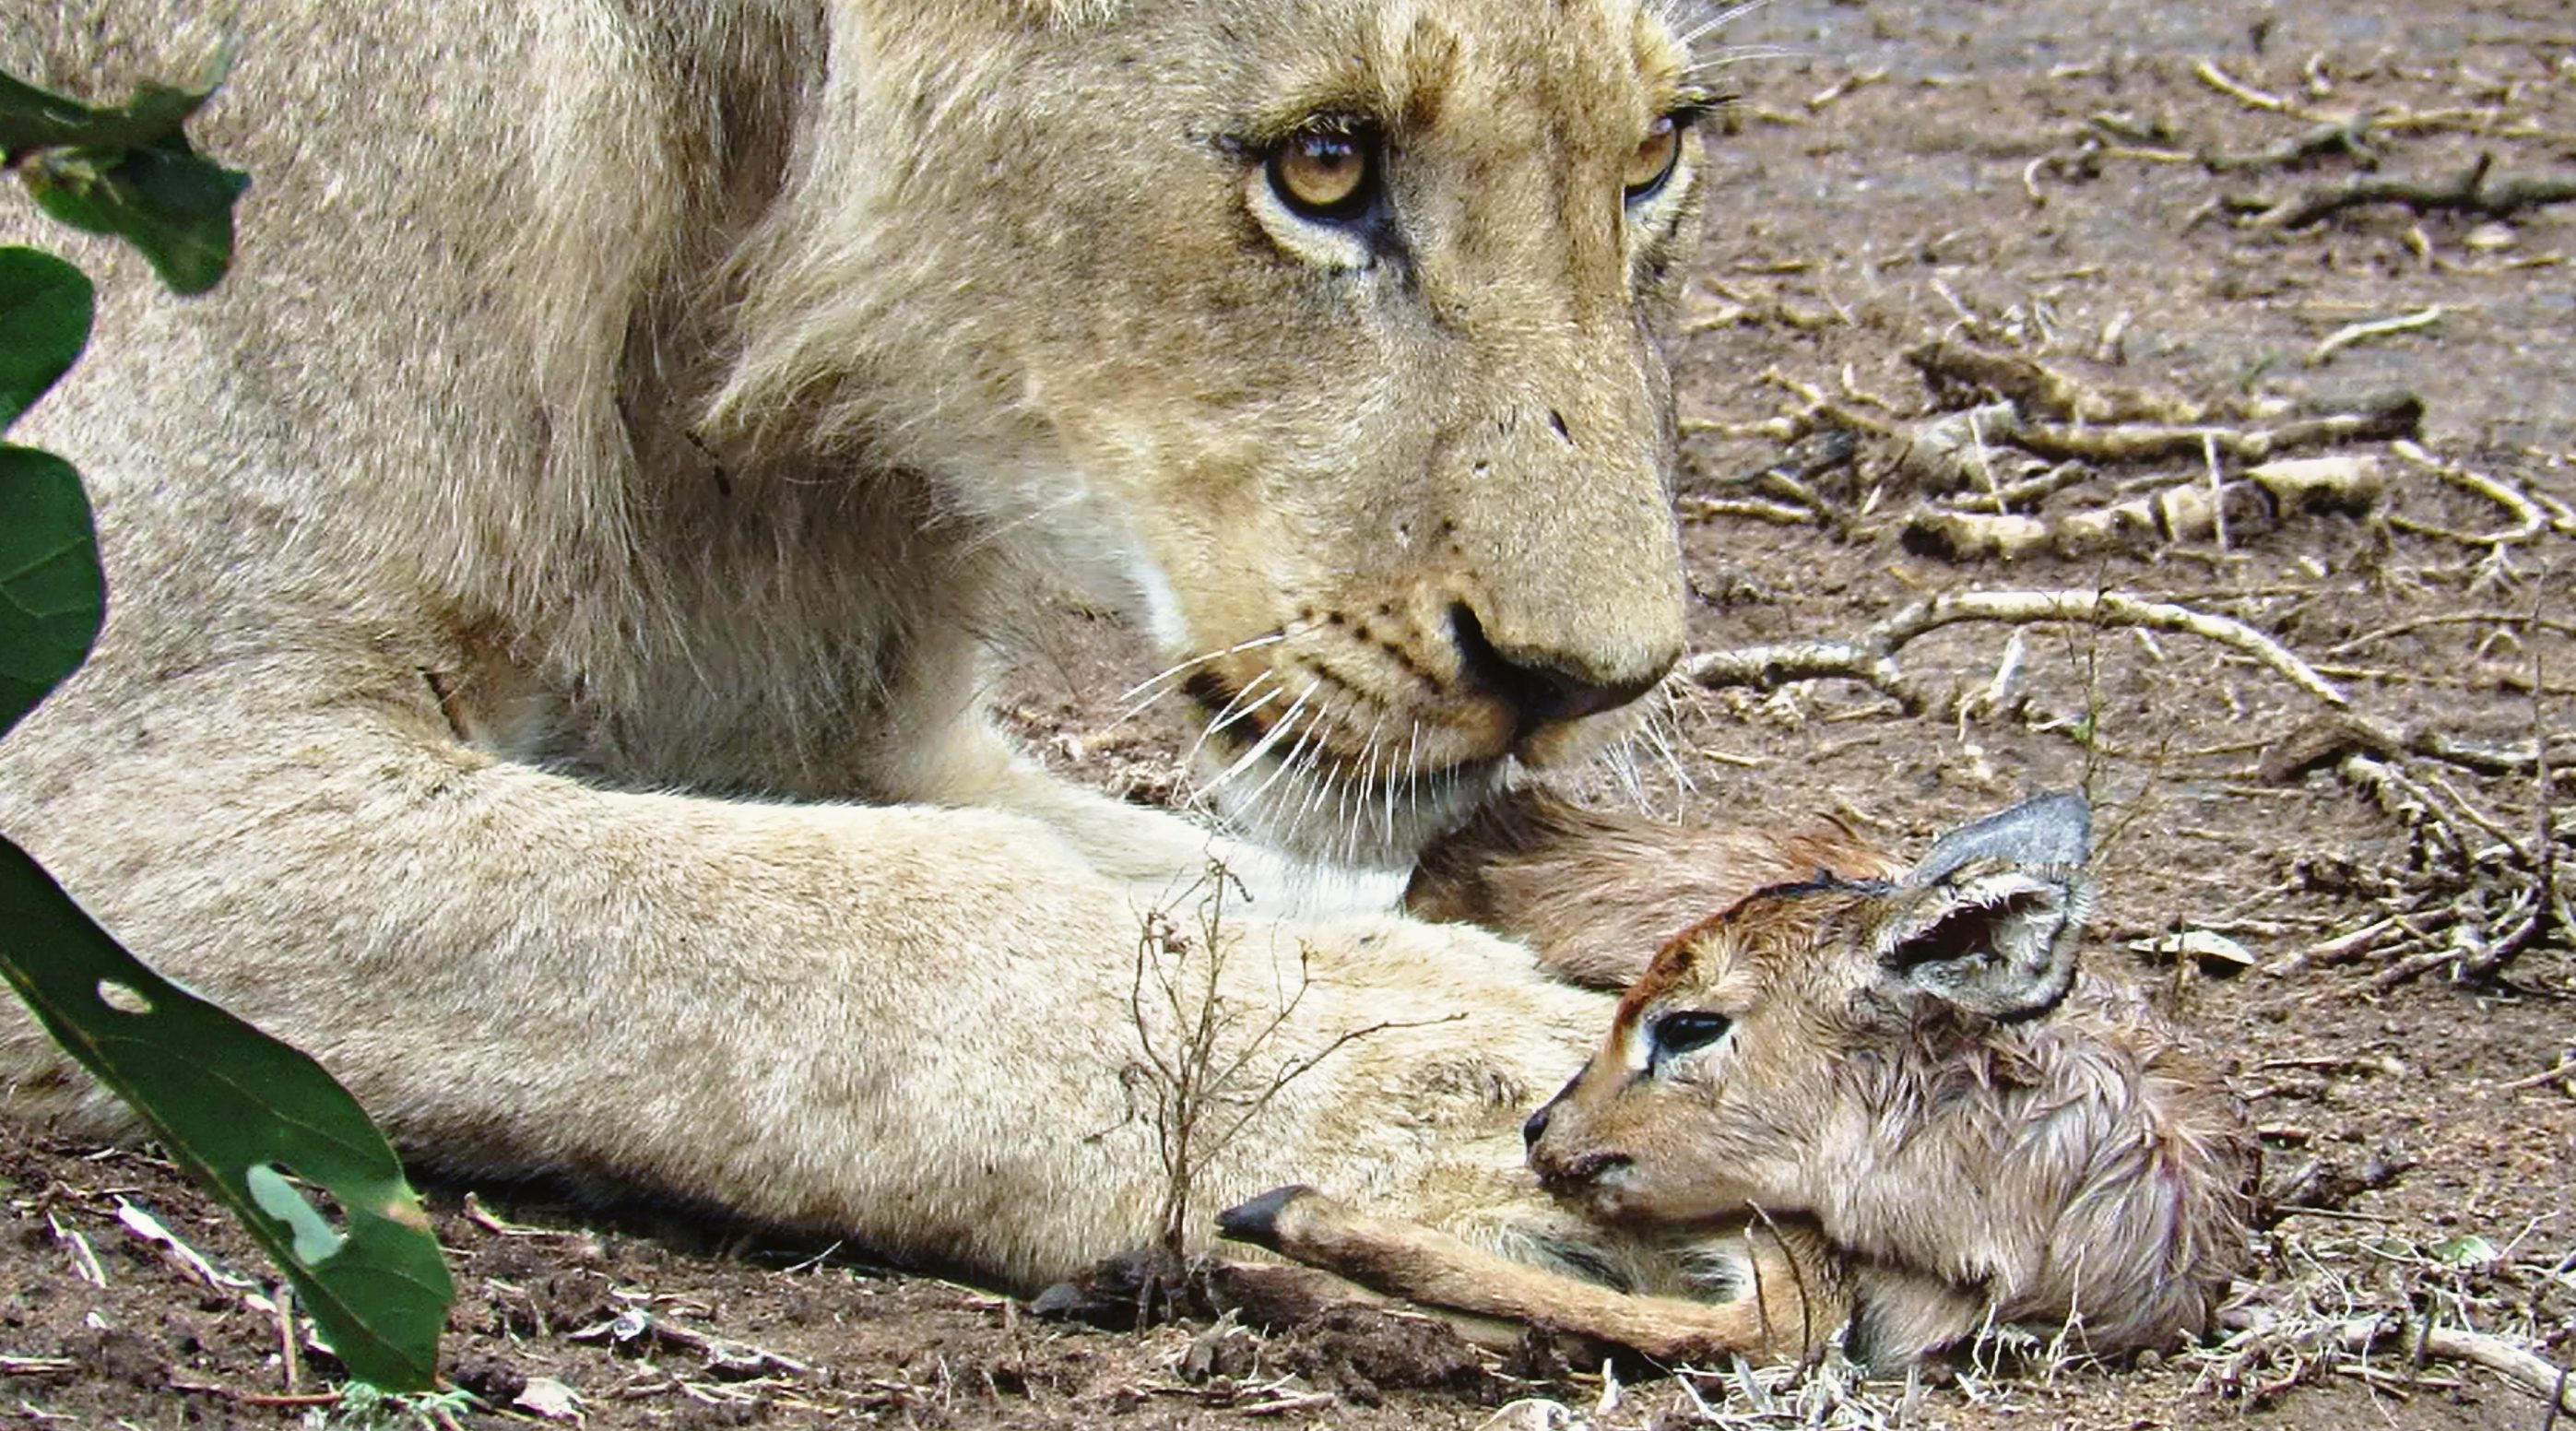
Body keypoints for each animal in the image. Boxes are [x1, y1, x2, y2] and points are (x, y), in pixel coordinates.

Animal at [0, 0, 1727, 1292]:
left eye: (1651, 152)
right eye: (1321, 162)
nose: (1584, 687)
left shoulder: (815, 730)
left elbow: (1207, 877)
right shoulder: (129, 771)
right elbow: (890, 923)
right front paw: (1474, 1075)